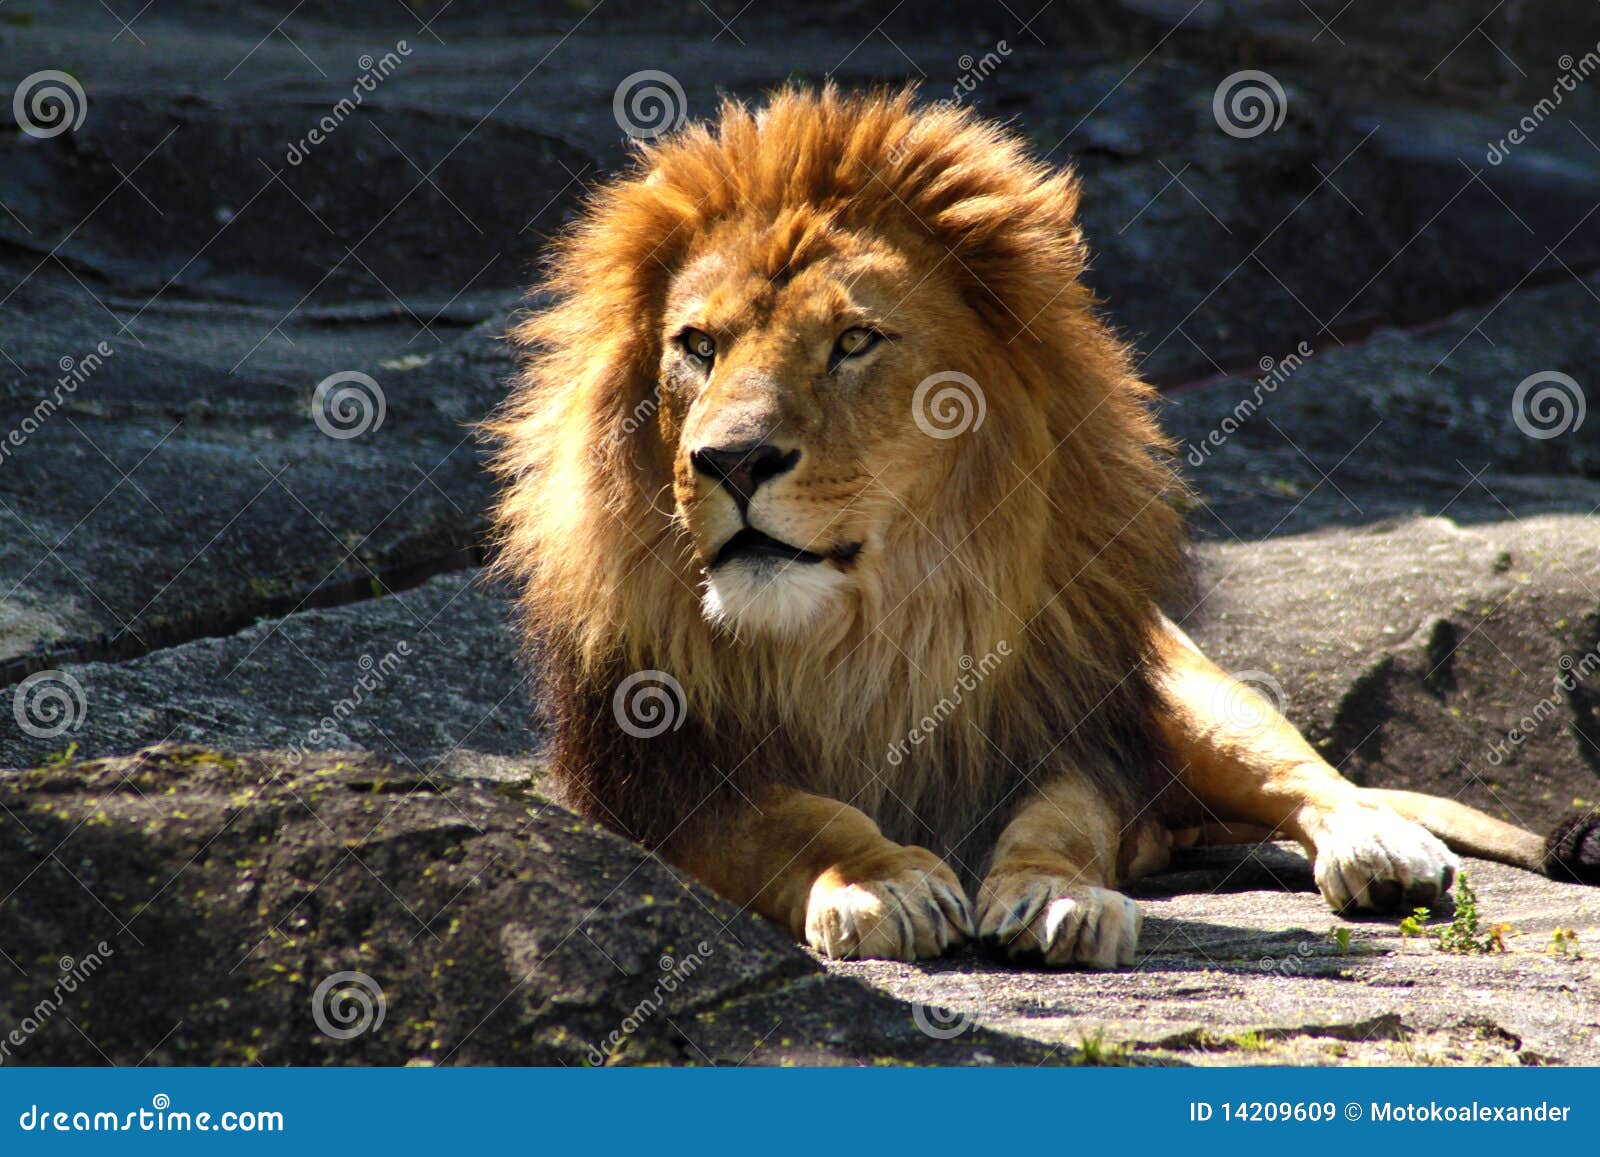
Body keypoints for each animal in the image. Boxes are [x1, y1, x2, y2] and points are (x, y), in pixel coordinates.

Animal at [487, 88, 1600, 967]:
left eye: (853, 341)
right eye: (697, 347)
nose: (732, 460)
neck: (869, 624)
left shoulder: (1073, 721)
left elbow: (1061, 820)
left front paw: (1054, 897)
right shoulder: (651, 776)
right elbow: (801, 815)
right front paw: (886, 879)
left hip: (1178, 685)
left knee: (1308, 773)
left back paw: (1382, 846)